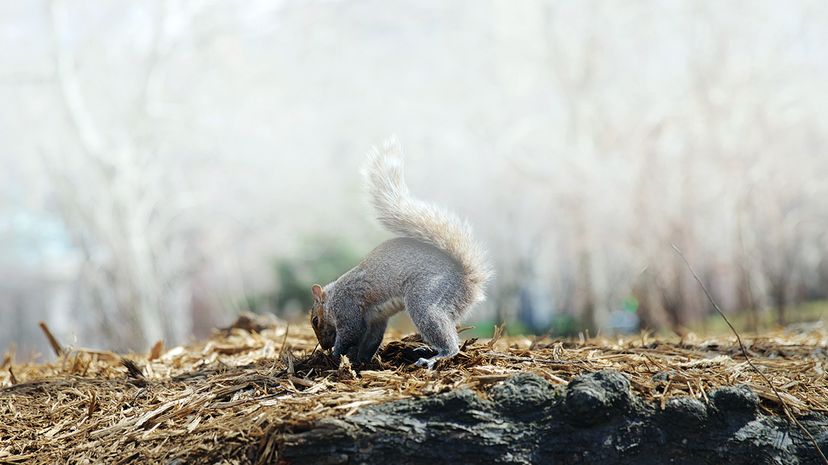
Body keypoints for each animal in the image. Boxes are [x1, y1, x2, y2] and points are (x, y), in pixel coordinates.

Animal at [310, 138, 492, 366]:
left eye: (315, 320)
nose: (324, 345)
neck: (332, 297)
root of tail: (470, 282)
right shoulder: (375, 320)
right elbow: (369, 341)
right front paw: (359, 360)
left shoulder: (347, 307)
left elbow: (351, 333)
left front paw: (334, 355)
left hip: (426, 300)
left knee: (449, 342)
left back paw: (435, 357)